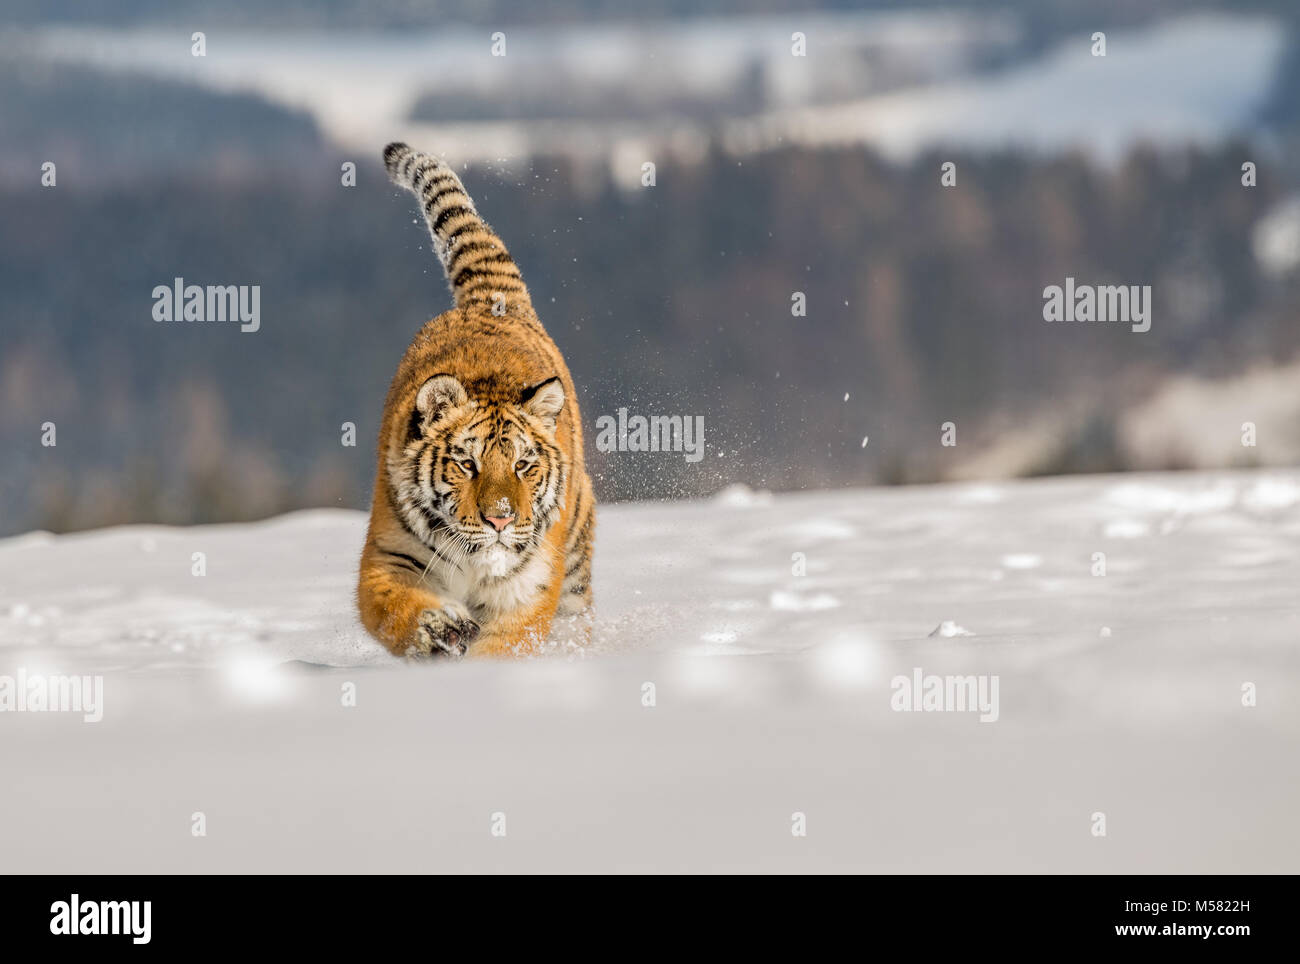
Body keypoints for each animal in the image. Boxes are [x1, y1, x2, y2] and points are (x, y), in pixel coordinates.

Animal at [356, 142, 595, 659]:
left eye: (523, 465)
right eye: (467, 465)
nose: (501, 520)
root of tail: (490, 301)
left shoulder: (528, 589)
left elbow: (502, 649)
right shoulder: (389, 556)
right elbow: (395, 609)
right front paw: (439, 628)